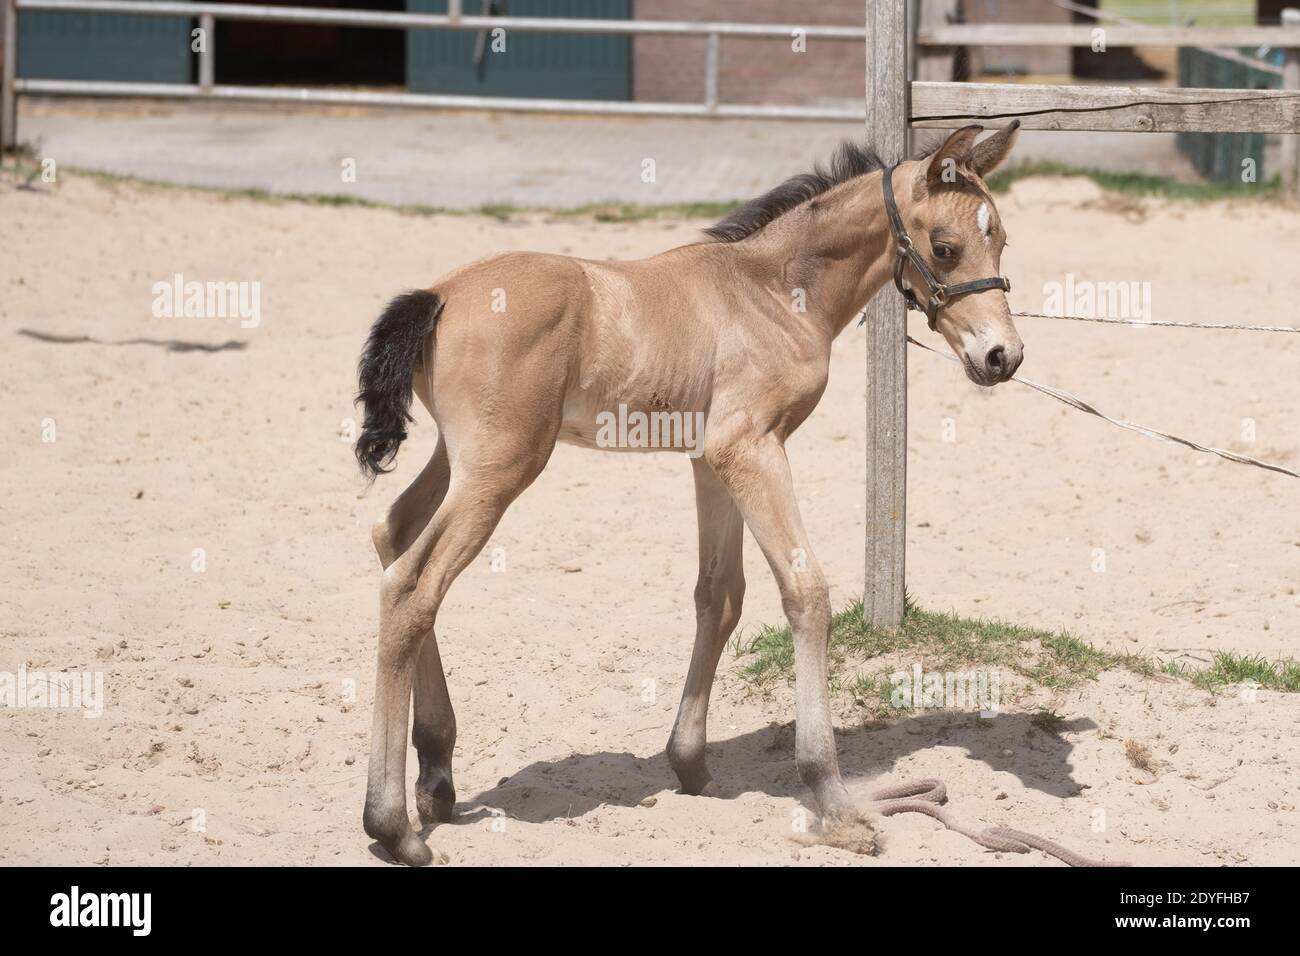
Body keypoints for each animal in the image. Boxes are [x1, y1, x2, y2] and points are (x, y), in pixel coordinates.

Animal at [353, 122, 1024, 866]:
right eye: (945, 245)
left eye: (1001, 240)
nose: (1003, 357)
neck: (773, 290)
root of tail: (438, 296)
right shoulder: (751, 447)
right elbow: (806, 593)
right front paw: (832, 797)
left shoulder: (711, 460)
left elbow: (719, 595)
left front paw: (692, 764)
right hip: (502, 468)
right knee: (413, 587)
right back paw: (392, 826)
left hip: (460, 459)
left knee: (393, 534)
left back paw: (436, 774)